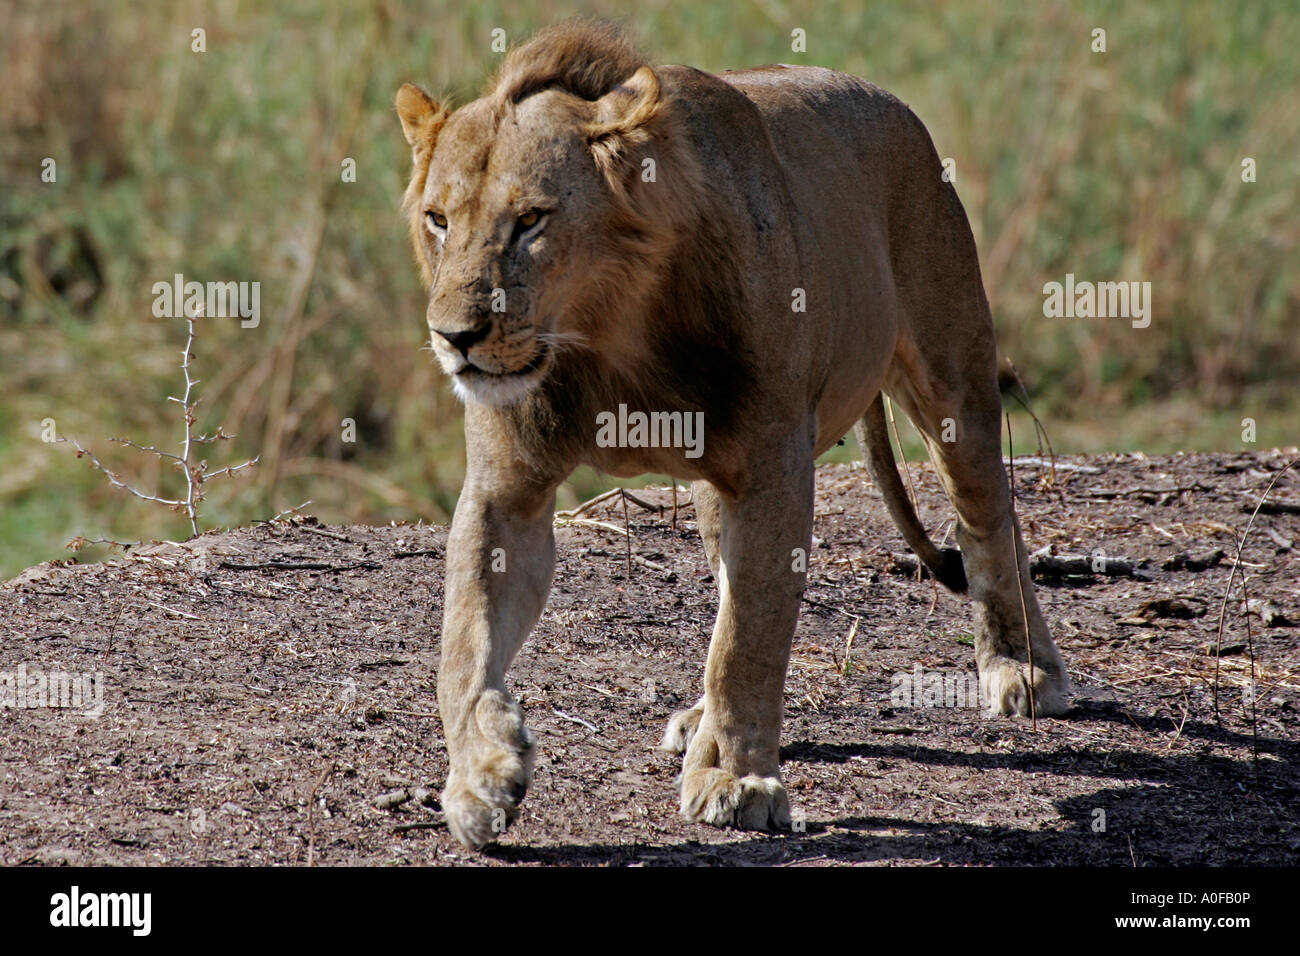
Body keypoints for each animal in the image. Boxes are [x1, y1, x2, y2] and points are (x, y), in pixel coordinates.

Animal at [395, 20, 1069, 850]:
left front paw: (735, 778)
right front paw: (481, 776)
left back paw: (1024, 666)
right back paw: (697, 720)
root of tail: (884, 98)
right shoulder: (505, 492)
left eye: (531, 221)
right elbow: (464, 644)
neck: (607, 334)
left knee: (988, 520)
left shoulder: (773, 470)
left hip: (952, 379)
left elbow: (747, 641)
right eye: (438, 220)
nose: (454, 336)